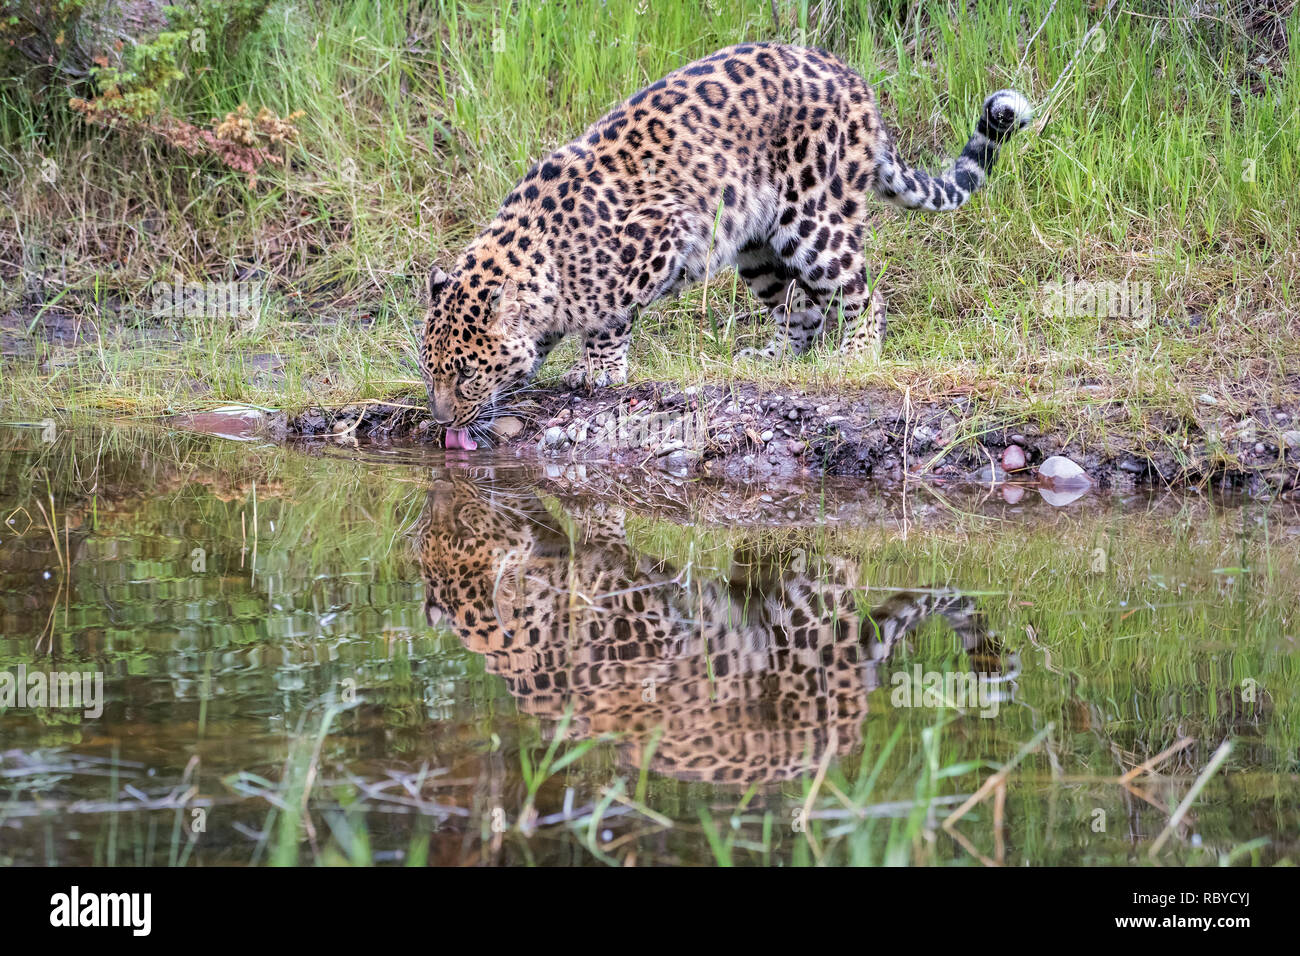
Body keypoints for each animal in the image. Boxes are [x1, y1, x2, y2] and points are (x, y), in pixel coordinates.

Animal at [419, 42, 1032, 449]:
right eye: (431, 373)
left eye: (467, 374)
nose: (443, 421)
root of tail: (853, 79)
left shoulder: (660, 236)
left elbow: (609, 319)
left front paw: (599, 370)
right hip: (757, 247)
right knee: (800, 308)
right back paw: (777, 357)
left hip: (815, 220)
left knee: (863, 294)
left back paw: (858, 353)